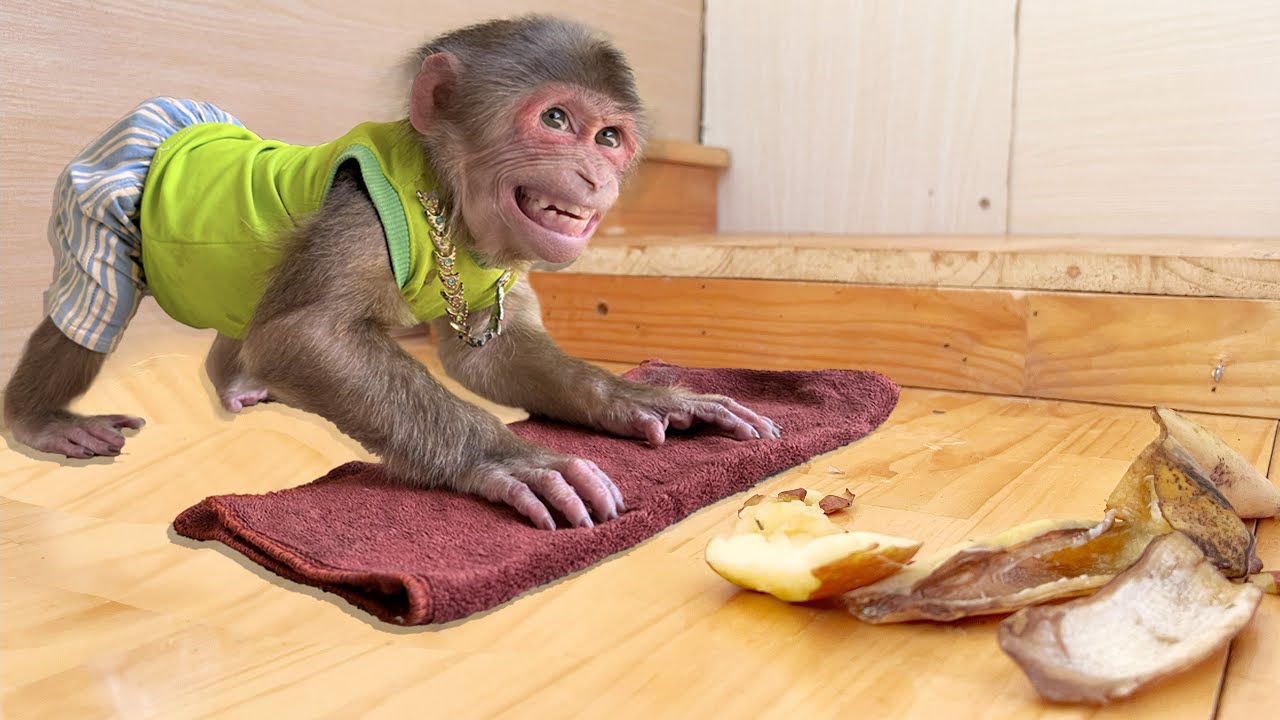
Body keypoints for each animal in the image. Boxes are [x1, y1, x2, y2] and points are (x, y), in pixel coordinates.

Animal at [2, 15, 780, 531]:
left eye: (610, 136)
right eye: (557, 119)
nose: (595, 175)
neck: (453, 205)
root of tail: (178, 118)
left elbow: (488, 359)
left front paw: (641, 398)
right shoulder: (363, 215)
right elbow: (305, 337)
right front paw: (508, 459)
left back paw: (232, 376)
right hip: (107, 183)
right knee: (94, 303)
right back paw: (38, 418)